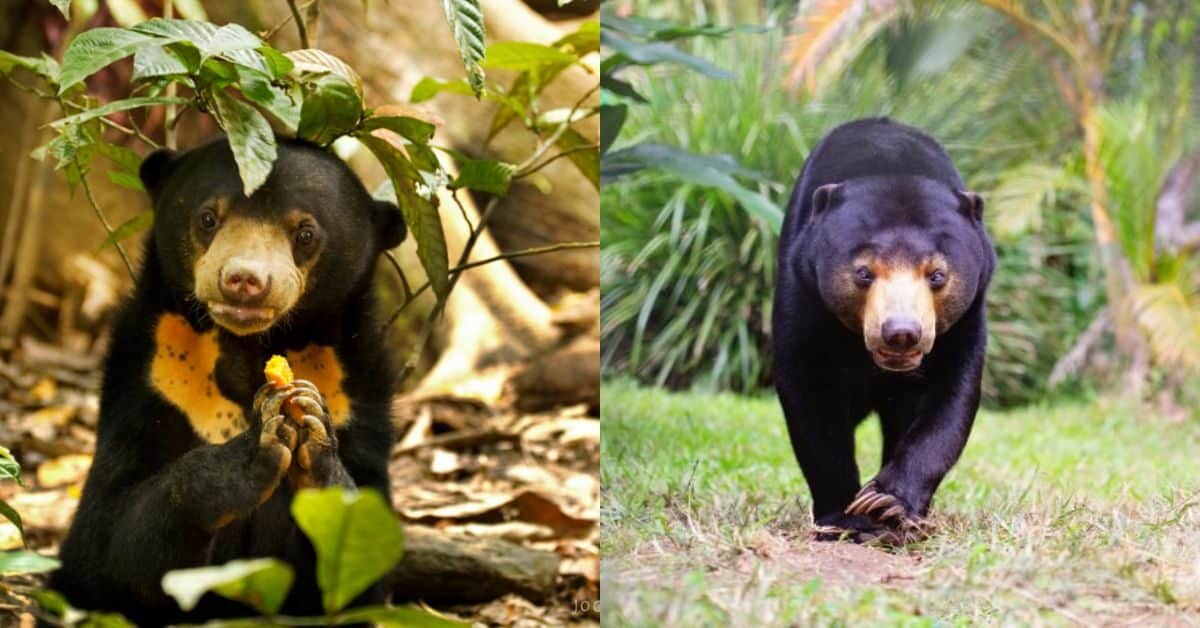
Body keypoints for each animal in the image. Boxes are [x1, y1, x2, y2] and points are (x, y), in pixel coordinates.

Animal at [49, 136, 406, 625]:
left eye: (305, 233)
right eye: (208, 218)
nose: (243, 280)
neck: (248, 346)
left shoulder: (358, 395)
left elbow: (359, 578)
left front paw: (315, 434)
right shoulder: (148, 379)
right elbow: (102, 542)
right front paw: (251, 452)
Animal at [772, 117, 994, 544]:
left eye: (937, 275)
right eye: (863, 273)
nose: (901, 333)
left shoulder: (965, 322)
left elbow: (948, 403)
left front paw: (888, 505)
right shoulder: (803, 294)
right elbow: (810, 401)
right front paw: (845, 518)